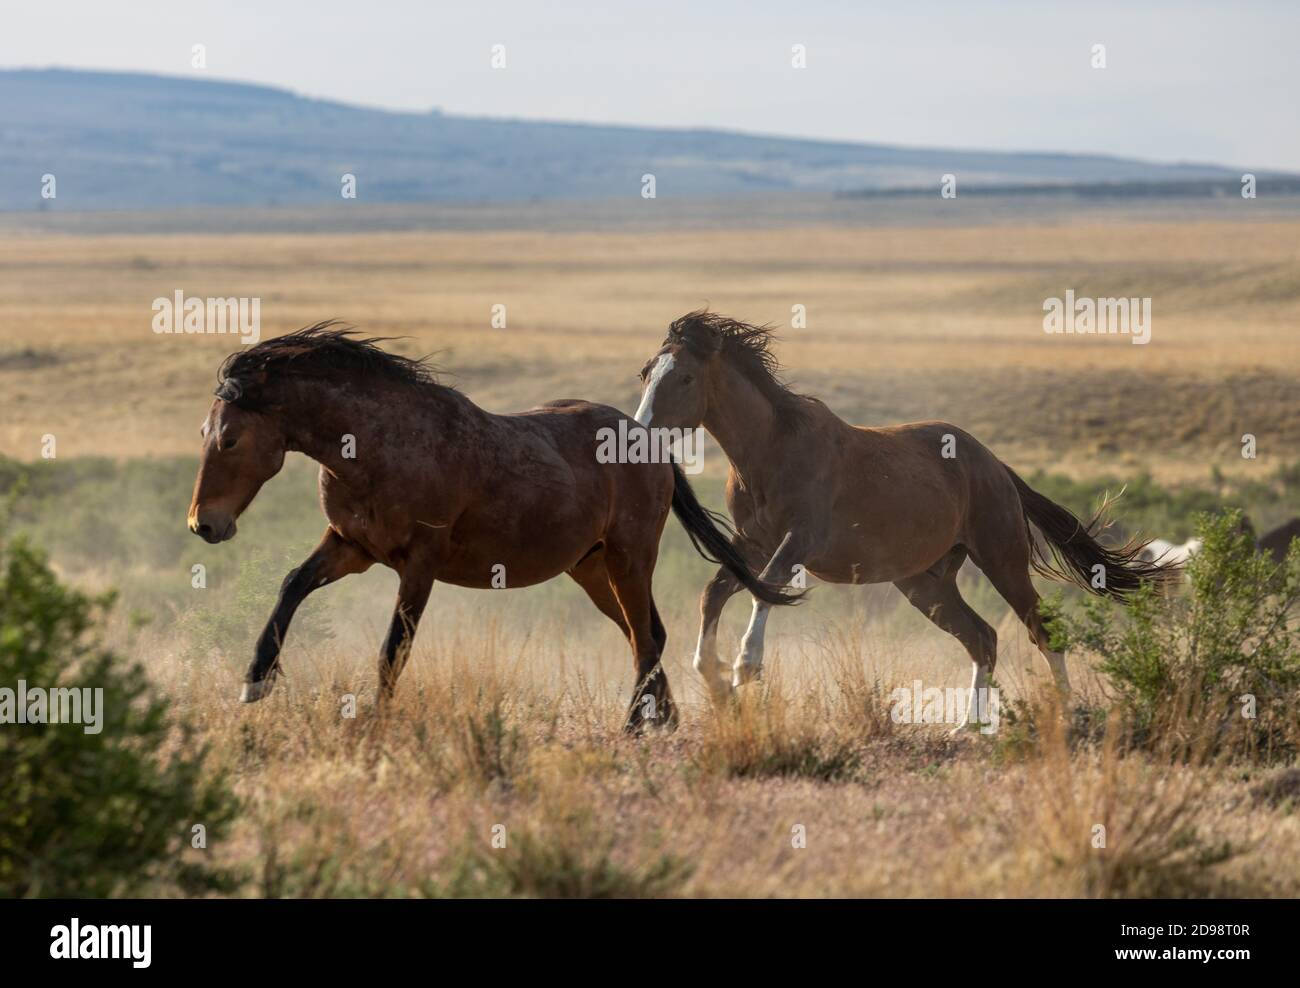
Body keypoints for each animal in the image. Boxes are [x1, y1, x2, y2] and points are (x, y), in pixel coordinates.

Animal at [186, 323, 794, 731]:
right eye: (205, 432)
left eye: (230, 439)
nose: (203, 524)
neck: (377, 444)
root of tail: (646, 439)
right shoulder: (350, 547)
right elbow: (292, 585)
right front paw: (255, 680)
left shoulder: (419, 565)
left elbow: (393, 648)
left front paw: (379, 721)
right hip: (592, 568)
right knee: (648, 633)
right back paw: (658, 718)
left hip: (629, 557)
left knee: (645, 636)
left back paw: (633, 726)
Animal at [634, 310, 1172, 728]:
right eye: (646, 372)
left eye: (685, 378)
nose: (637, 437)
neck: (772, 449)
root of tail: (995, 467)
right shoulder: (751, 544)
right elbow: (714, 594)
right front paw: (716, 678)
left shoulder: (799, 542)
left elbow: (765, 590)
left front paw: (745, 668)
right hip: (924, 583)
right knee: (983, 638)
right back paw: (966, 728)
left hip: (1002, 560)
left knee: (1041, 629)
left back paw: (1064, 713)